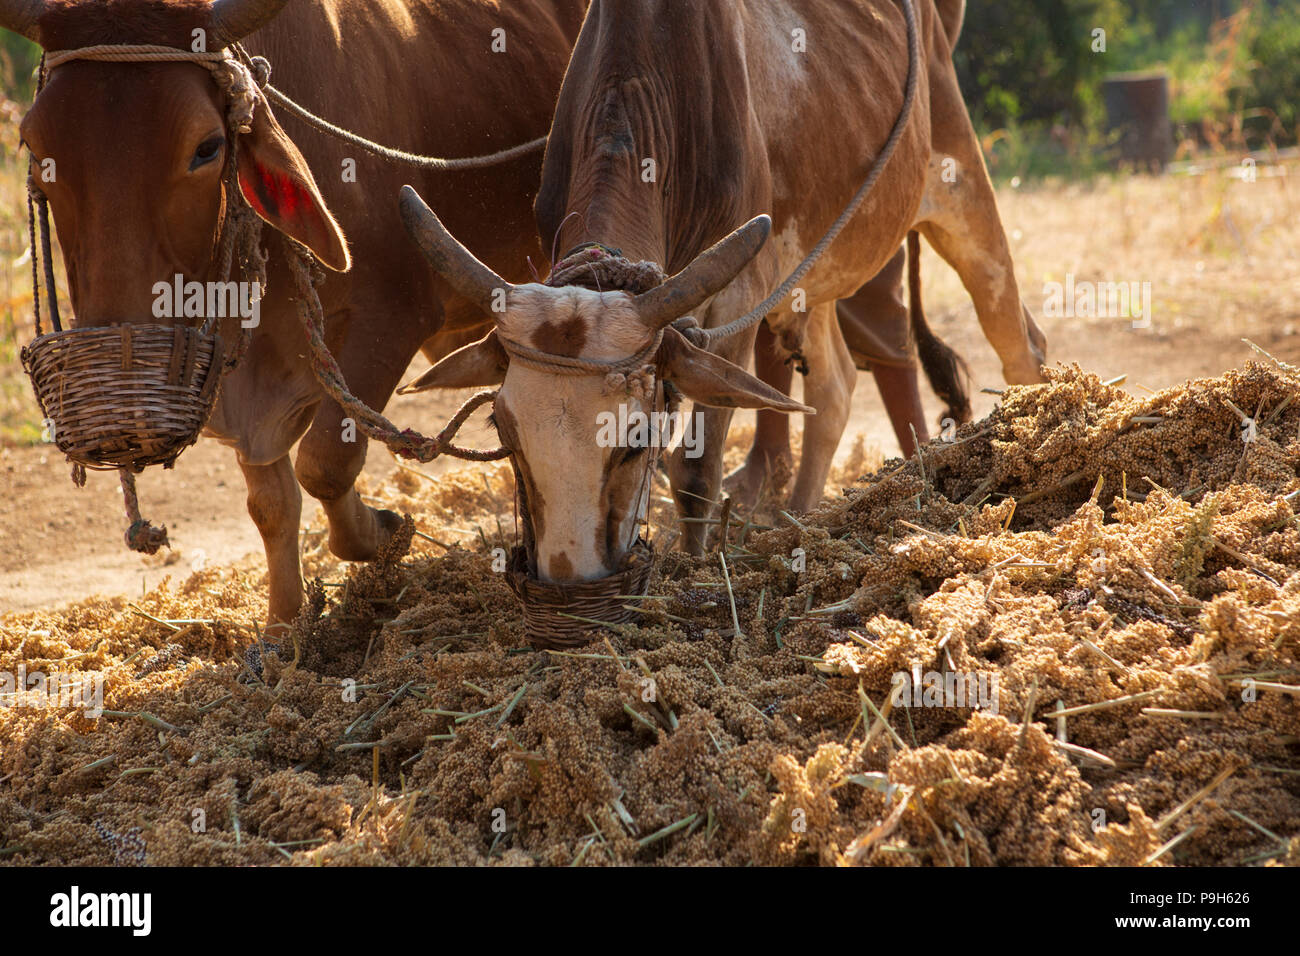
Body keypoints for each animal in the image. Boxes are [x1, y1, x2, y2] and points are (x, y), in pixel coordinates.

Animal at [2, 0, 586, 626]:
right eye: (35, 146)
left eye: (207, 147)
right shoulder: (235, 378)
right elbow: (271, 504)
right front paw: (284, 625)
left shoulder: (392, 318)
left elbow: (326, 462)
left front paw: (385, 531)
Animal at [398, 0, 1047, 590]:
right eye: (504, 431)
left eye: (635, 440)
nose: (568, 575)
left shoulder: (737, 300)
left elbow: (695, 471)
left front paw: (693, 566)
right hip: (811, 275)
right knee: (835, 388)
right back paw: (800, 520)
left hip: (963, 192)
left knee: (1018, 341)